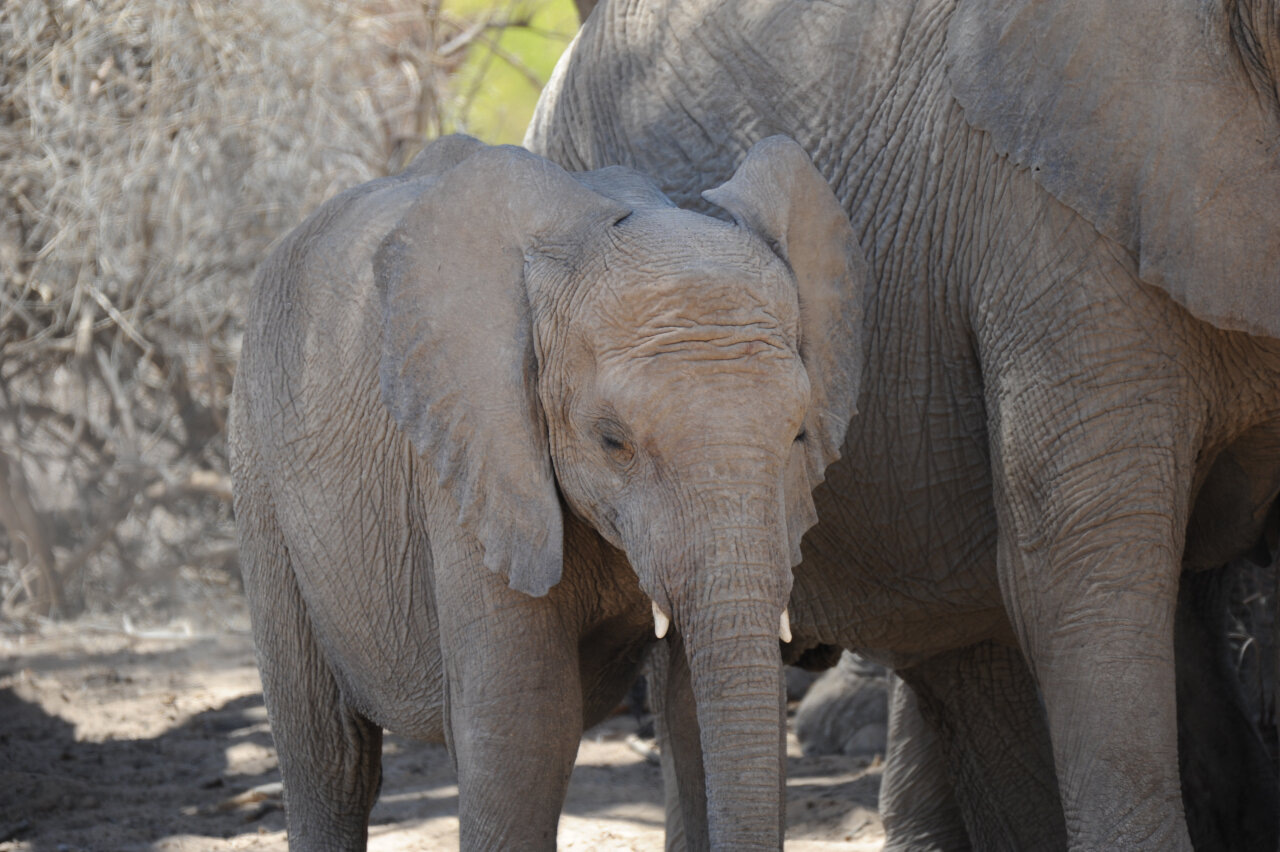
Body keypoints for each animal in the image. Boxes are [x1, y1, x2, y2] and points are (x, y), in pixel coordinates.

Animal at [228, 133, 867, 849]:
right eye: (613, 441)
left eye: (798, 436)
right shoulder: (474, 456)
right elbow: (524, 728)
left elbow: (689, 714)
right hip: (257, 463)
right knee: (328, 760)